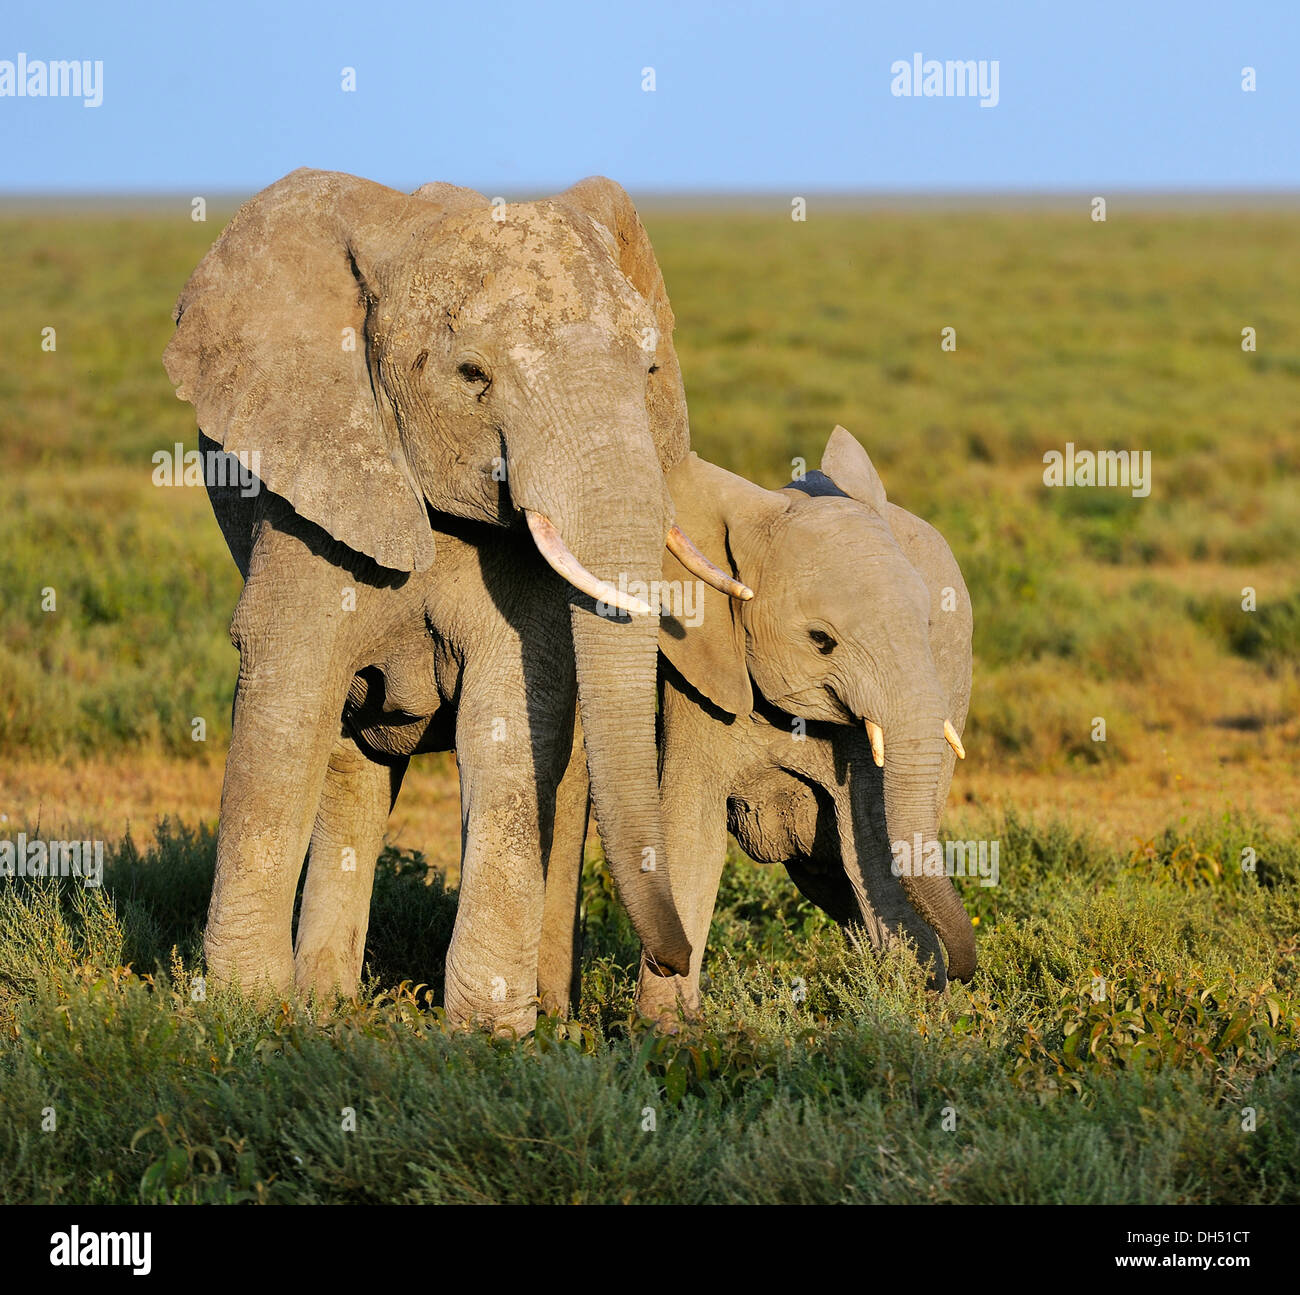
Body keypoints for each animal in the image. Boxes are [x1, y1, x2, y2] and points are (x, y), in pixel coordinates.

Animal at [162, 169, 748, 1030]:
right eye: (473, 375)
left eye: (649, 373)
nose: (672, 963)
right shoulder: (312, 482)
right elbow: (288, 693)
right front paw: (248, 1012)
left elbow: (512, 716)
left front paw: (488, 1032)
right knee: (349, 753)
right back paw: (325, 1004)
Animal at [537, 426, 976, 1019]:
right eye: (821, 640)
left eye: (928, 624)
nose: (960, 971)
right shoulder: (699, 677)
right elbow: (690, 833)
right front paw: (668, 1030)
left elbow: (871, 846)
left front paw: (916, 1018)